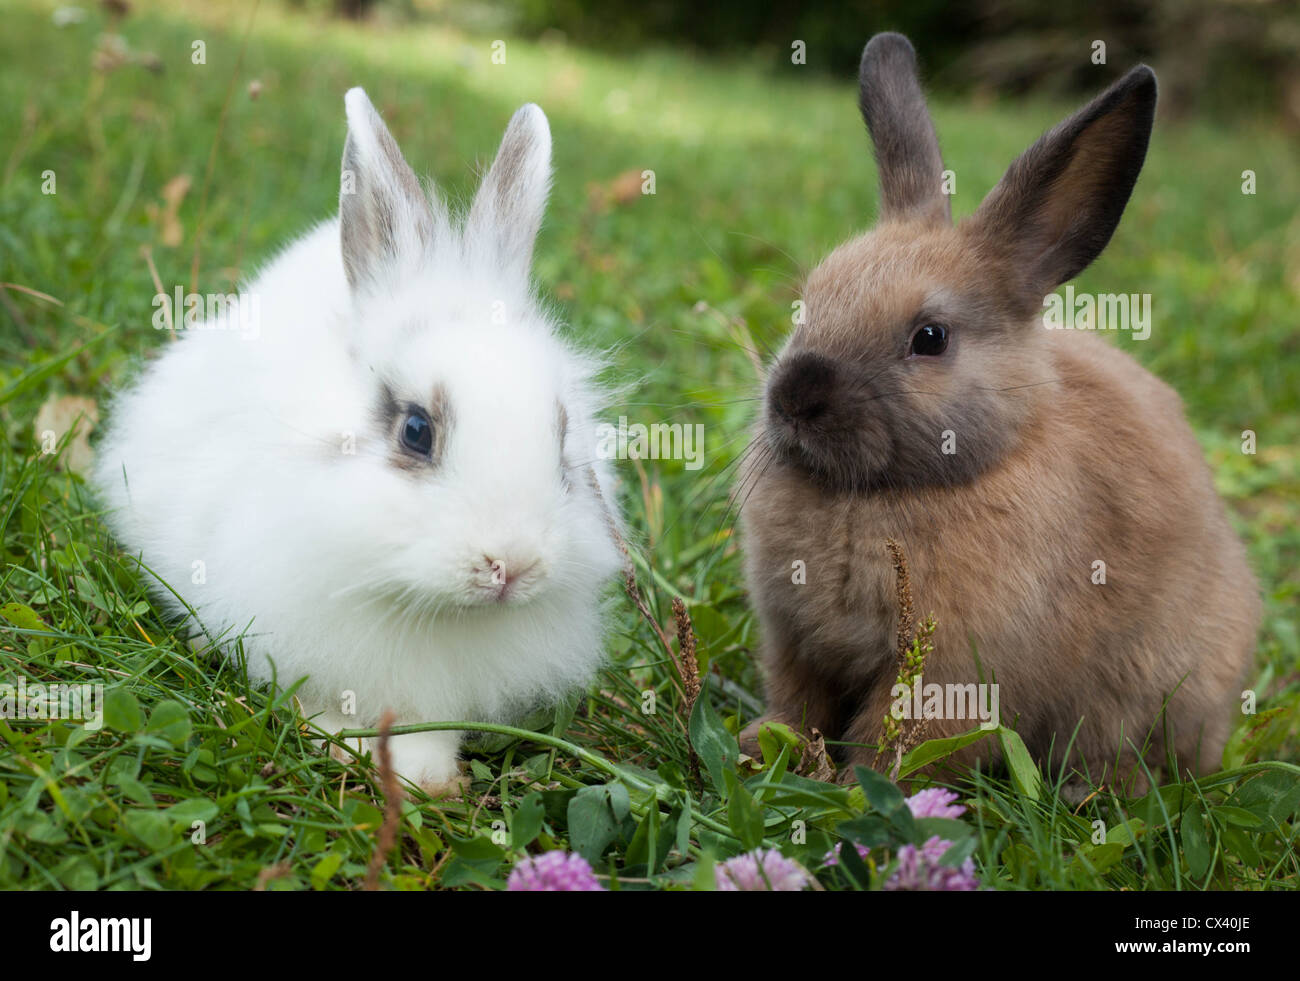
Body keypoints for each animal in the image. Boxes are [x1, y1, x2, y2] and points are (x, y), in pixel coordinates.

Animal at [738, 33, 1260, 796]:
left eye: (930, 337)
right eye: (809, 300)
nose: (795, 397)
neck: (884, 493)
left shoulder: (952, 672)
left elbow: (898, 740)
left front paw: (857, 790)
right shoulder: (795, 643)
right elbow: (798, 705)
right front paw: (762, 749)